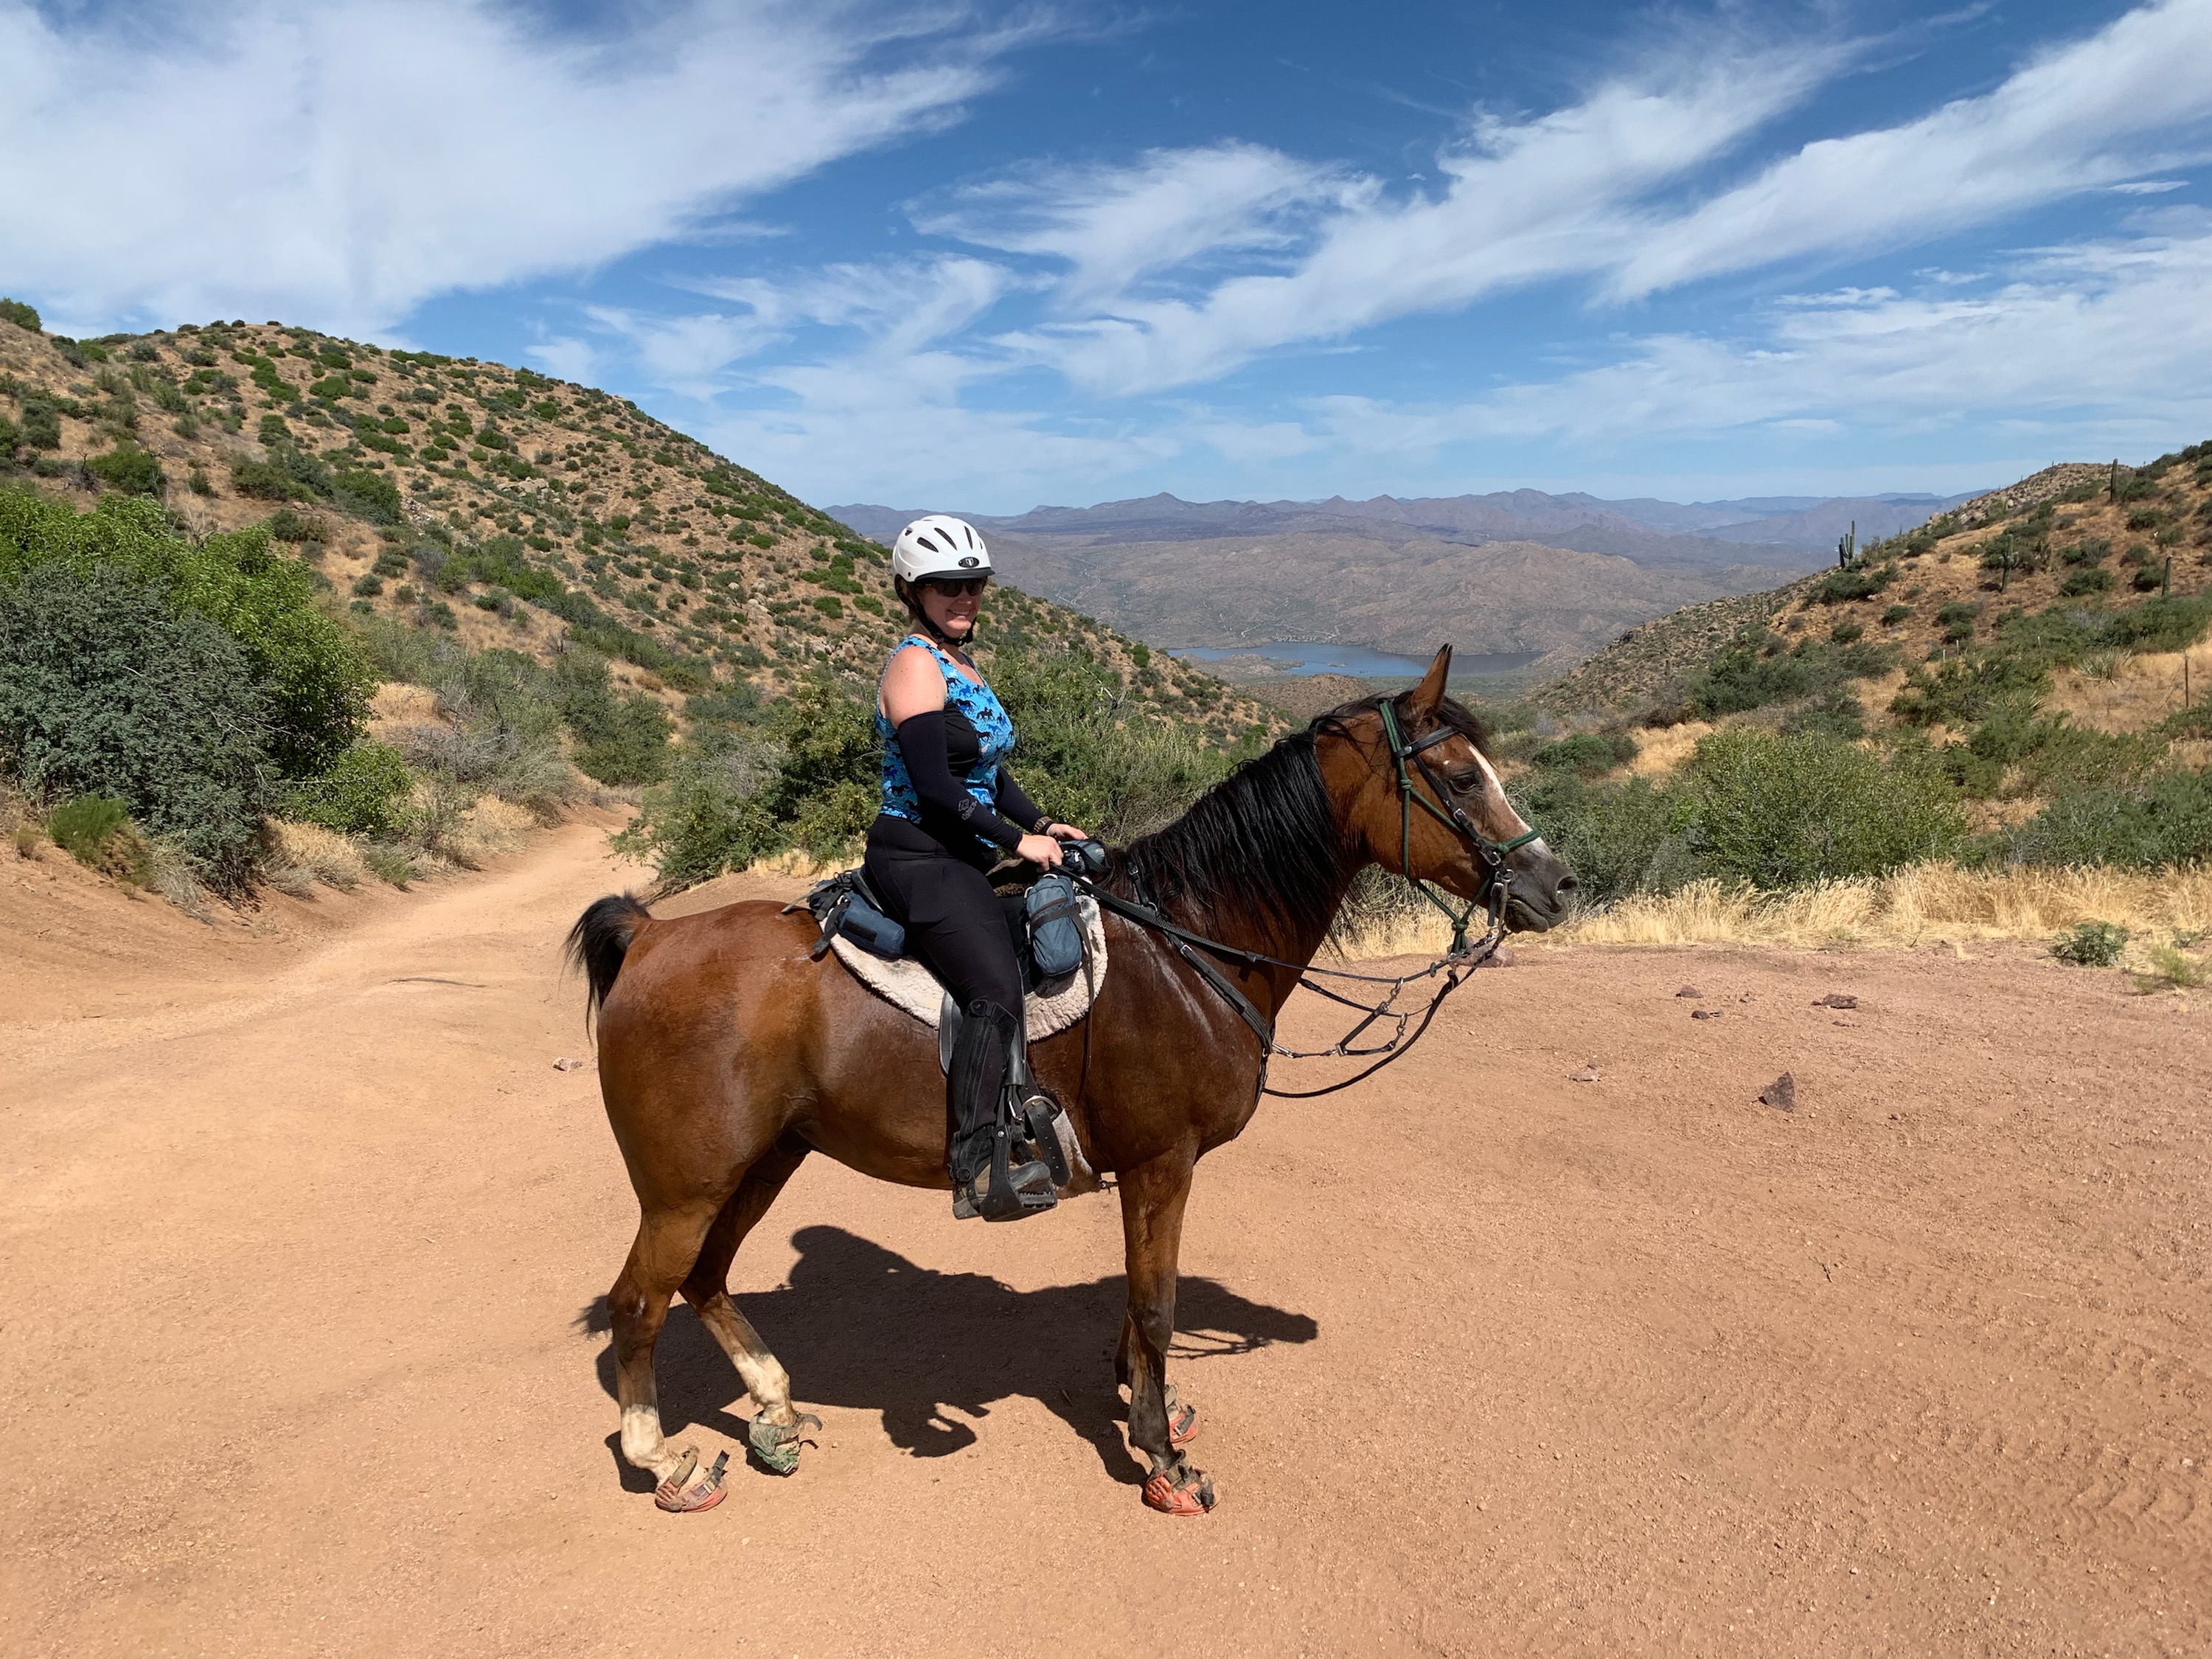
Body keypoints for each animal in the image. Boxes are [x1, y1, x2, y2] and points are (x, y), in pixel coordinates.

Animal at [567, 644, 1578, 1516]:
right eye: (1459, 780)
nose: (1559, 884)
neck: (1187, 947)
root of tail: (651, 936)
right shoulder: (1164, 1162)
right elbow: (1156, 1306)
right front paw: (1164, 1462)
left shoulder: (1150, 1169)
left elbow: (1136, 1304)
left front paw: (1145, 1406)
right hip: (684, 1186)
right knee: (639, 1302)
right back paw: (666, 1461)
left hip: (765, 1158)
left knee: (705, 1280)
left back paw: (775, 1411)